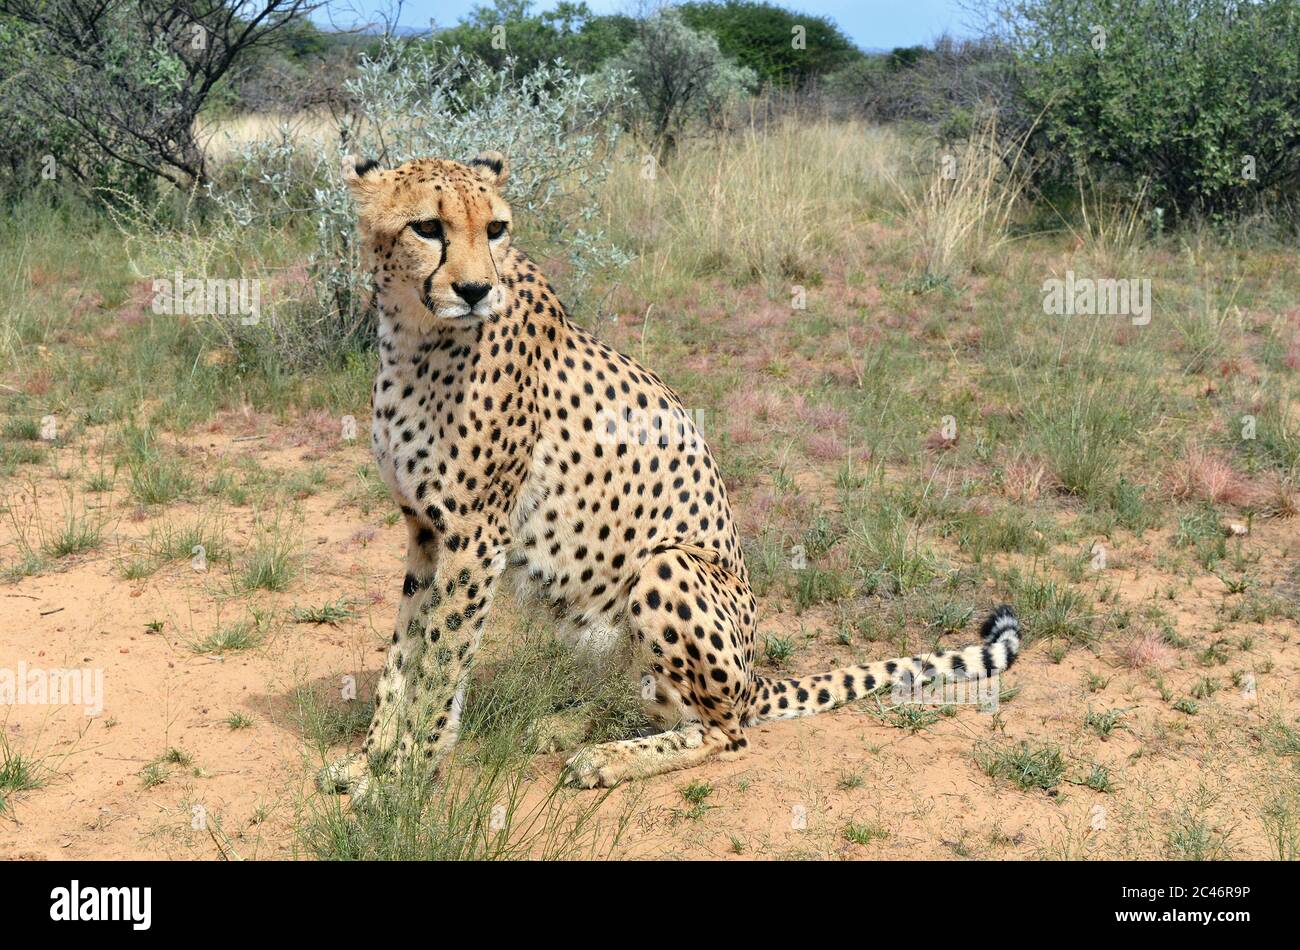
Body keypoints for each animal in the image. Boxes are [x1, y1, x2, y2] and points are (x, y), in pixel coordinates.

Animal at [317, 150, 1021, 798]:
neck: (415, 334)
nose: (475, 291)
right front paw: (369, 761)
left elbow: (439, 664)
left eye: (495, 228)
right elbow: (404, 652)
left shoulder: (476, 538)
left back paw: (608, 758)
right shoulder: (426, 529)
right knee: (653, 701)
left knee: (724, 731)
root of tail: (755, 674)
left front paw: (402, 778)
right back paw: (566, 726)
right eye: (427, 227)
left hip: (667, 566)